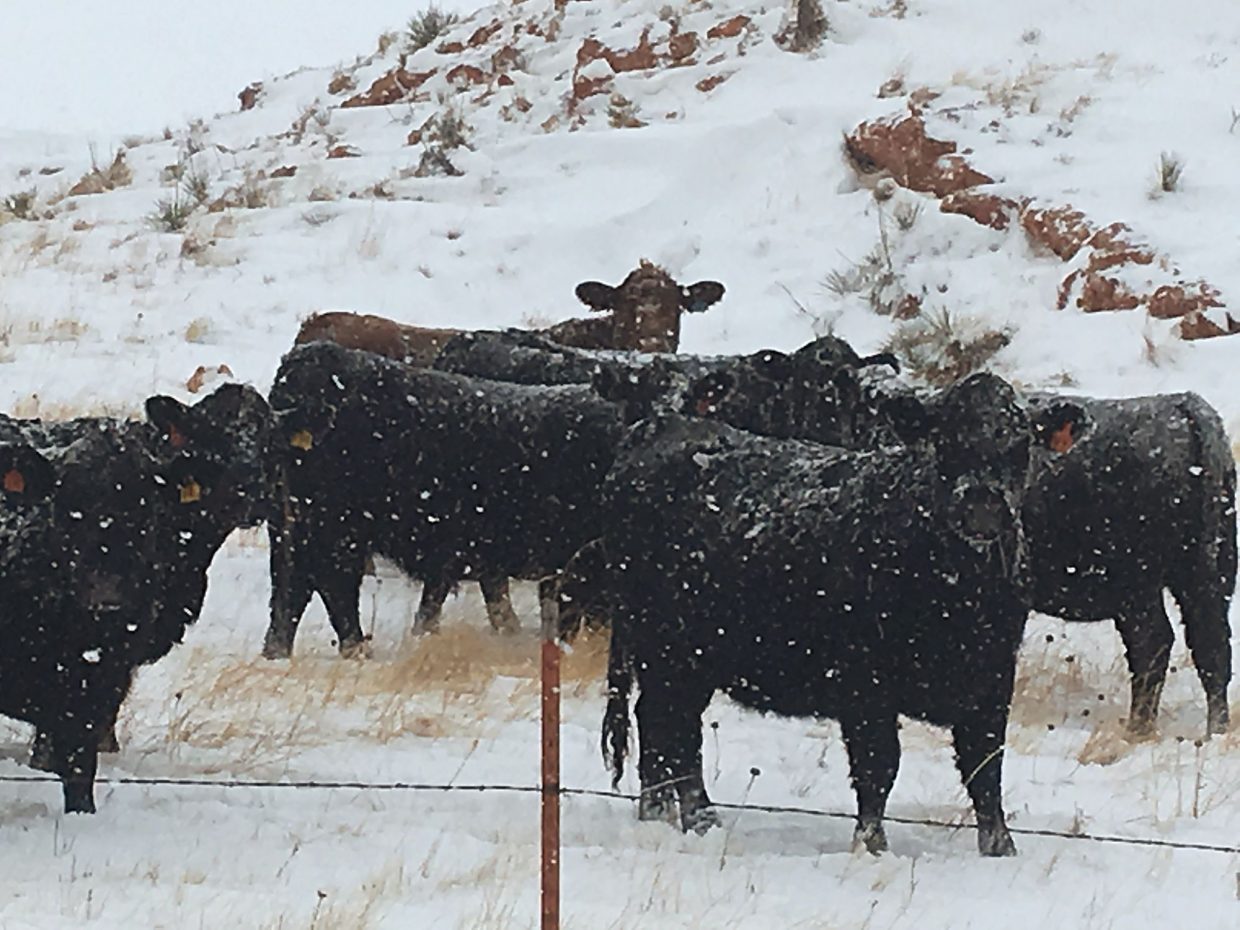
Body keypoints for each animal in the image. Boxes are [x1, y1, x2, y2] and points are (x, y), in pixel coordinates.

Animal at [593, 373, 1086, 856]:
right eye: (945, 442)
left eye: (1019, 444)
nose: (982, 505)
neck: (958, 596)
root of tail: (660, 426)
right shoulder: (866, 683)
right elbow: (879, 766)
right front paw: (871, 845)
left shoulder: (991, 679)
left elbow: (986, 768)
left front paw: (1001, 848)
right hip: (668, 648)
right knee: (672, 726)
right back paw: (699, 818)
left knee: (658, 723)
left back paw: (659, 812)